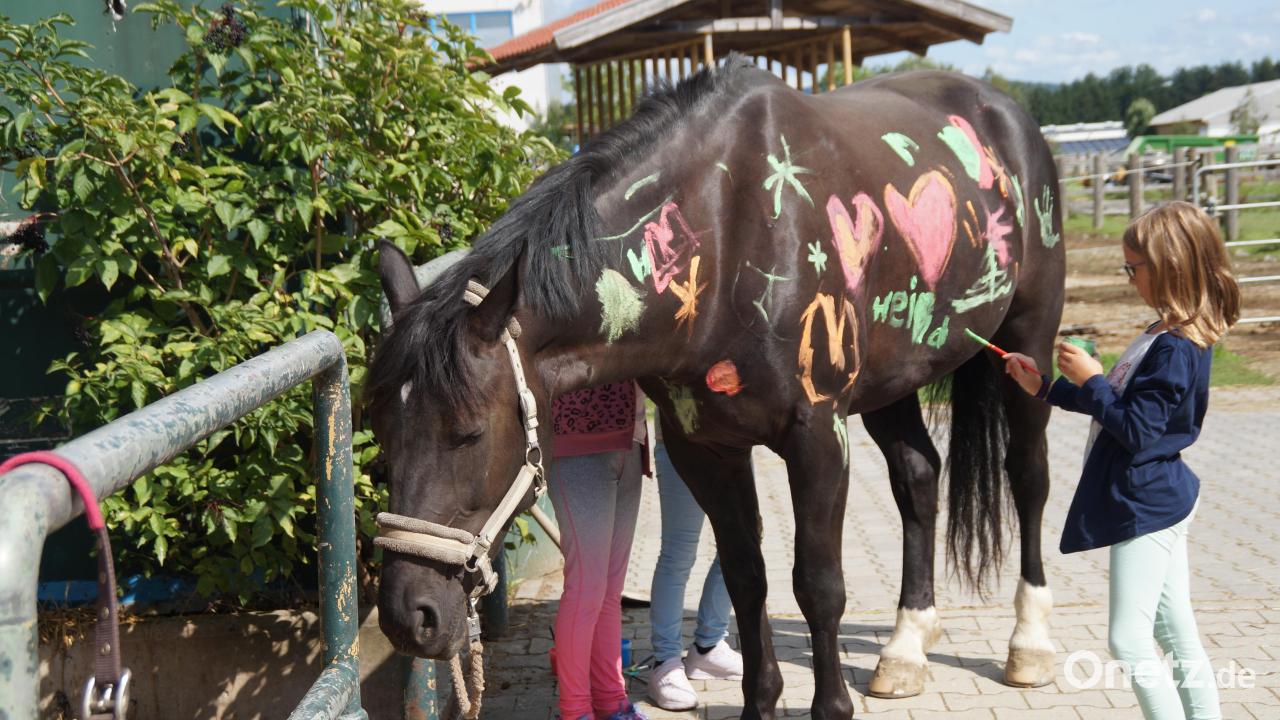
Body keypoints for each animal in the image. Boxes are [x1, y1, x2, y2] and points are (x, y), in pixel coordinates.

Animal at [367, 55, 1065, 719]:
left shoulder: (818, 435)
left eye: (469, 434)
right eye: (380, 433)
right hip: (894, 380)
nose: (410, 616)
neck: (724, 226)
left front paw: (832, 707)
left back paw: (1030, 644)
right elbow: (746, 577)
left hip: (1029, 348)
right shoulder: (703, 447)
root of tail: (1005, 113)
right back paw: (904, 649)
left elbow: (818, 585)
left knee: (1028, 476)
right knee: (918, 478)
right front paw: (760, 702)